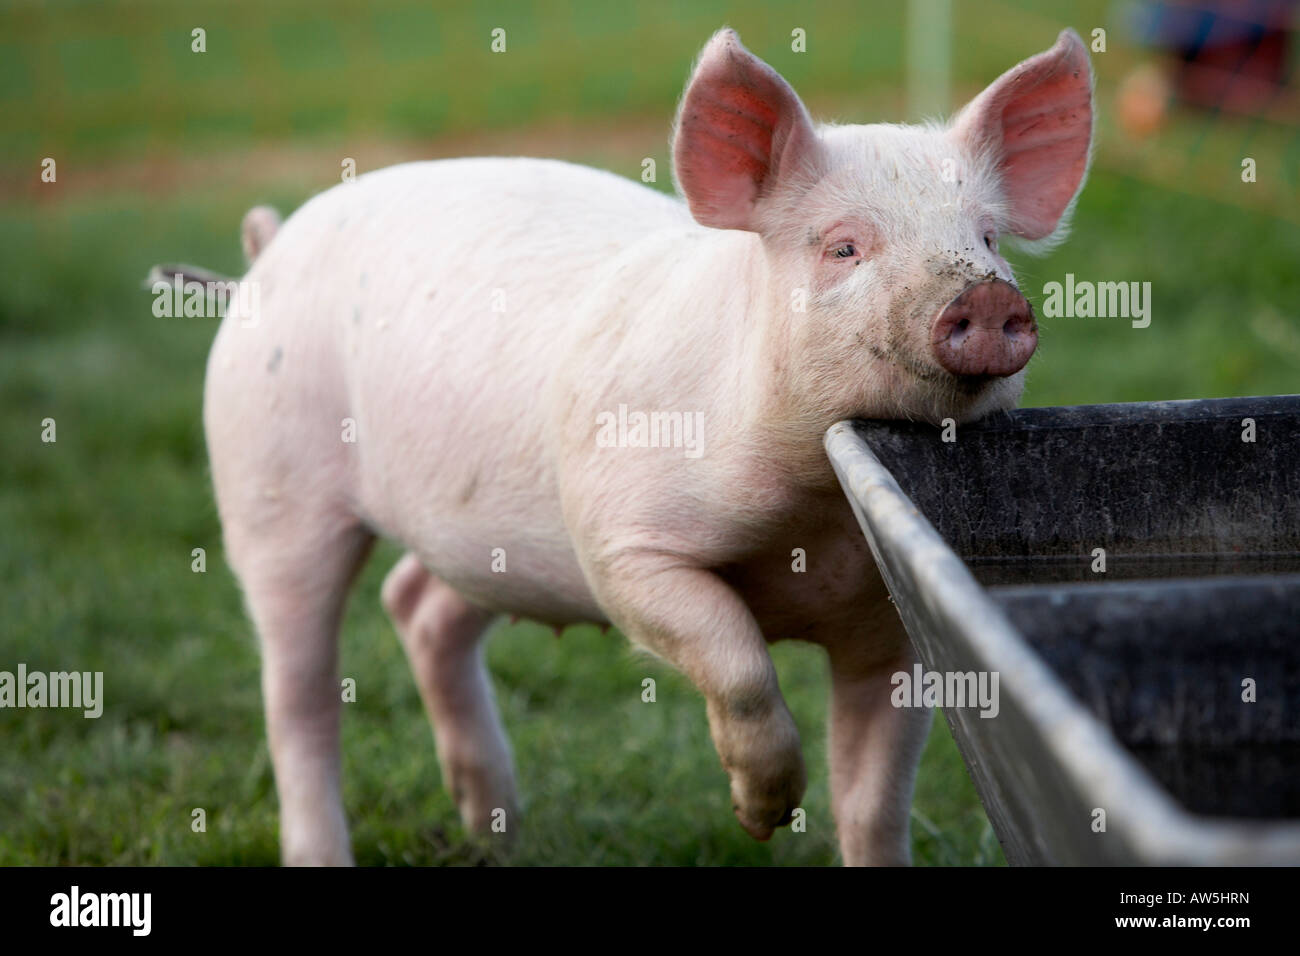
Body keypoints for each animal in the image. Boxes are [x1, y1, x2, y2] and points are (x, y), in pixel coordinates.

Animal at [202, 27, 1092, 866]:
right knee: (299, 690)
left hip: (490, 531)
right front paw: (763, 816)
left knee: (419, 606)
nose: (988, 298)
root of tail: (270, 246)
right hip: (268, 481)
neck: (812, 519)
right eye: (842, 246)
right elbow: (736, 660)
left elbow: (874, 802)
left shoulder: (891, 618)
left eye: (989, 239)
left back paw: (496, 832)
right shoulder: (621, 542)